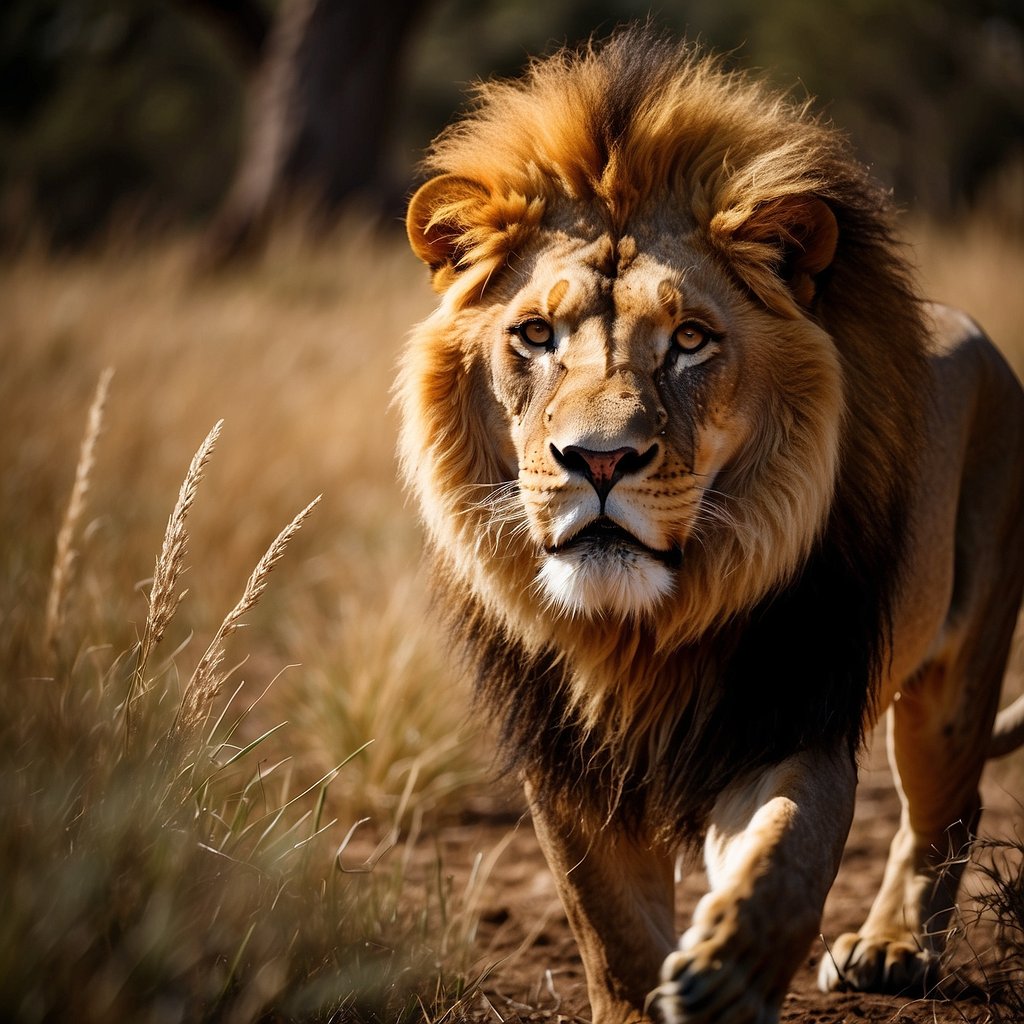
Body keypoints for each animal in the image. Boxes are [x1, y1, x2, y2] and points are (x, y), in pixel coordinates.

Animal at [397, 26, 1024, 1024]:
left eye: (689, 339)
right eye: (534, 335)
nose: (599, 460)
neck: (639, 632)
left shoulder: (786, 717)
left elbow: (789, 855)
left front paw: (729, 975)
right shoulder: (569, 762)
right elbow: (608, 926)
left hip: (957, 673)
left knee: (946, 811)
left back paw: (889, 948)